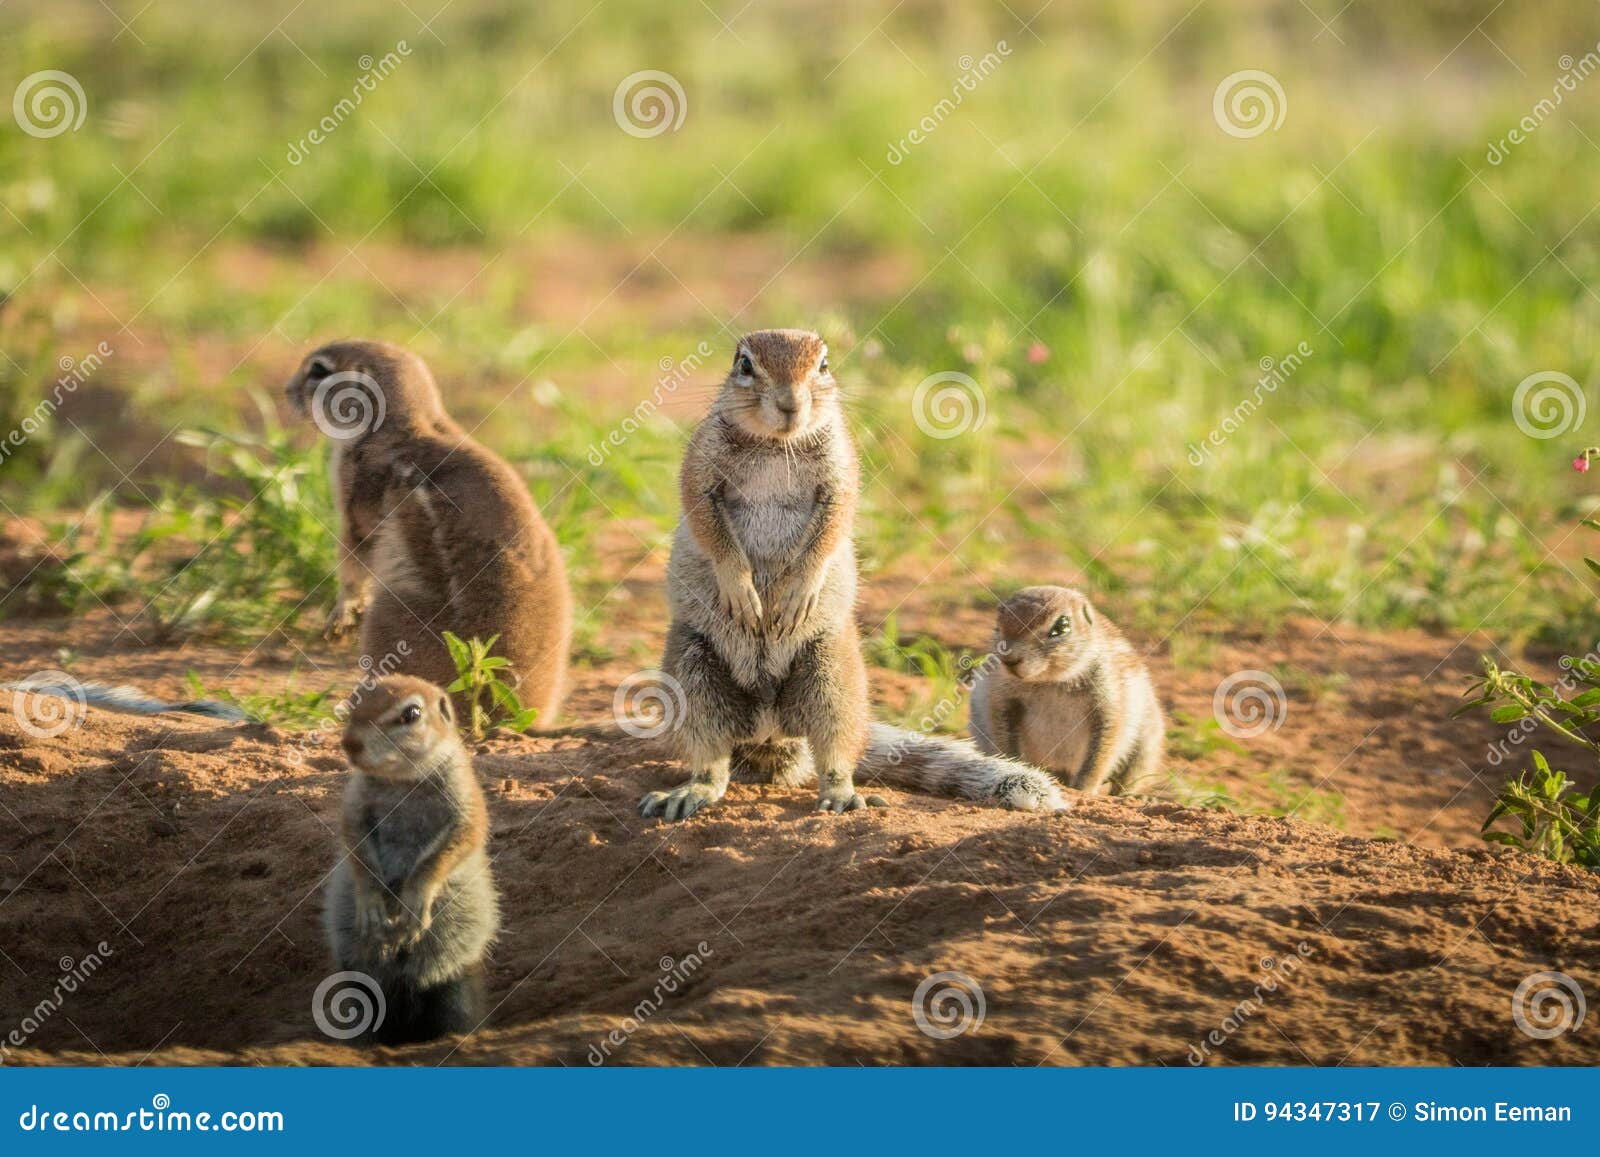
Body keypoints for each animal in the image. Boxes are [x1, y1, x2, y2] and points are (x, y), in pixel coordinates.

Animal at [286, 339, 572, 723]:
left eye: (318, 369)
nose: (286, 392)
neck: (406, 426)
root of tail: (500, 710)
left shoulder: (353, 501)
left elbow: (352, 562)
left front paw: (340, 617)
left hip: (389, 616)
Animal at [322, 675, 497, 1045]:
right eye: (354, 699)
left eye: (411, 714)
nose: (349, 743)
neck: (401, 782)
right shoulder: (354, 804)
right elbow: (355, 845)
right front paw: (372, 902)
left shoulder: (465, 802)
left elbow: (451, 848)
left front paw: (415, 899)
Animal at [638, 329, 1066, 822]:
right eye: (745, 364)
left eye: (823, 365)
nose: (790, 403)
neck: (777, 443)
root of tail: (771, 728)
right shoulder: (701, 465)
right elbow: (710, 526)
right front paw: (743, 592)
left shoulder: (840, 470)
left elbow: (833, 524)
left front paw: (798, 593)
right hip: (691, 671)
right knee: (711, 758)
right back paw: (691, 793)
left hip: (833, 672)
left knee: (837, 749)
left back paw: (841, 793)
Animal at [968, 585, 1164, 795]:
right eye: (997, 626)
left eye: (1061, 627)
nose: (1009, 660)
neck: (1050, 681)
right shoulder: (1000, 698)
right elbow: (1004, 738)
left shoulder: (1110, 700)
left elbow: (1101, 752)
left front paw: (1084, 789)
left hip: (1145, 745)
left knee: (1129, 779)